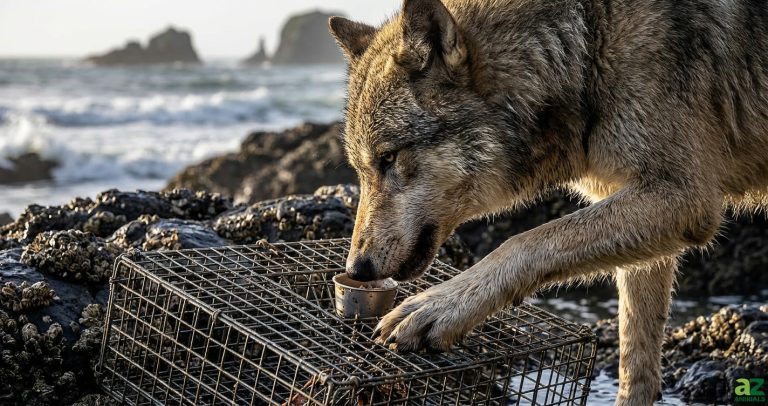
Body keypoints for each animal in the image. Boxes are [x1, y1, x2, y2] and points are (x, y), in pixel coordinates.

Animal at [328, 0, 768, 404]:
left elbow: (523, 242)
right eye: (360, 170)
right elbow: (635, 356)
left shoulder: (682, 197)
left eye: (388, 158)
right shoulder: (649, 211)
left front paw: (438, 306)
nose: (357, 268)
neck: (585, 50)